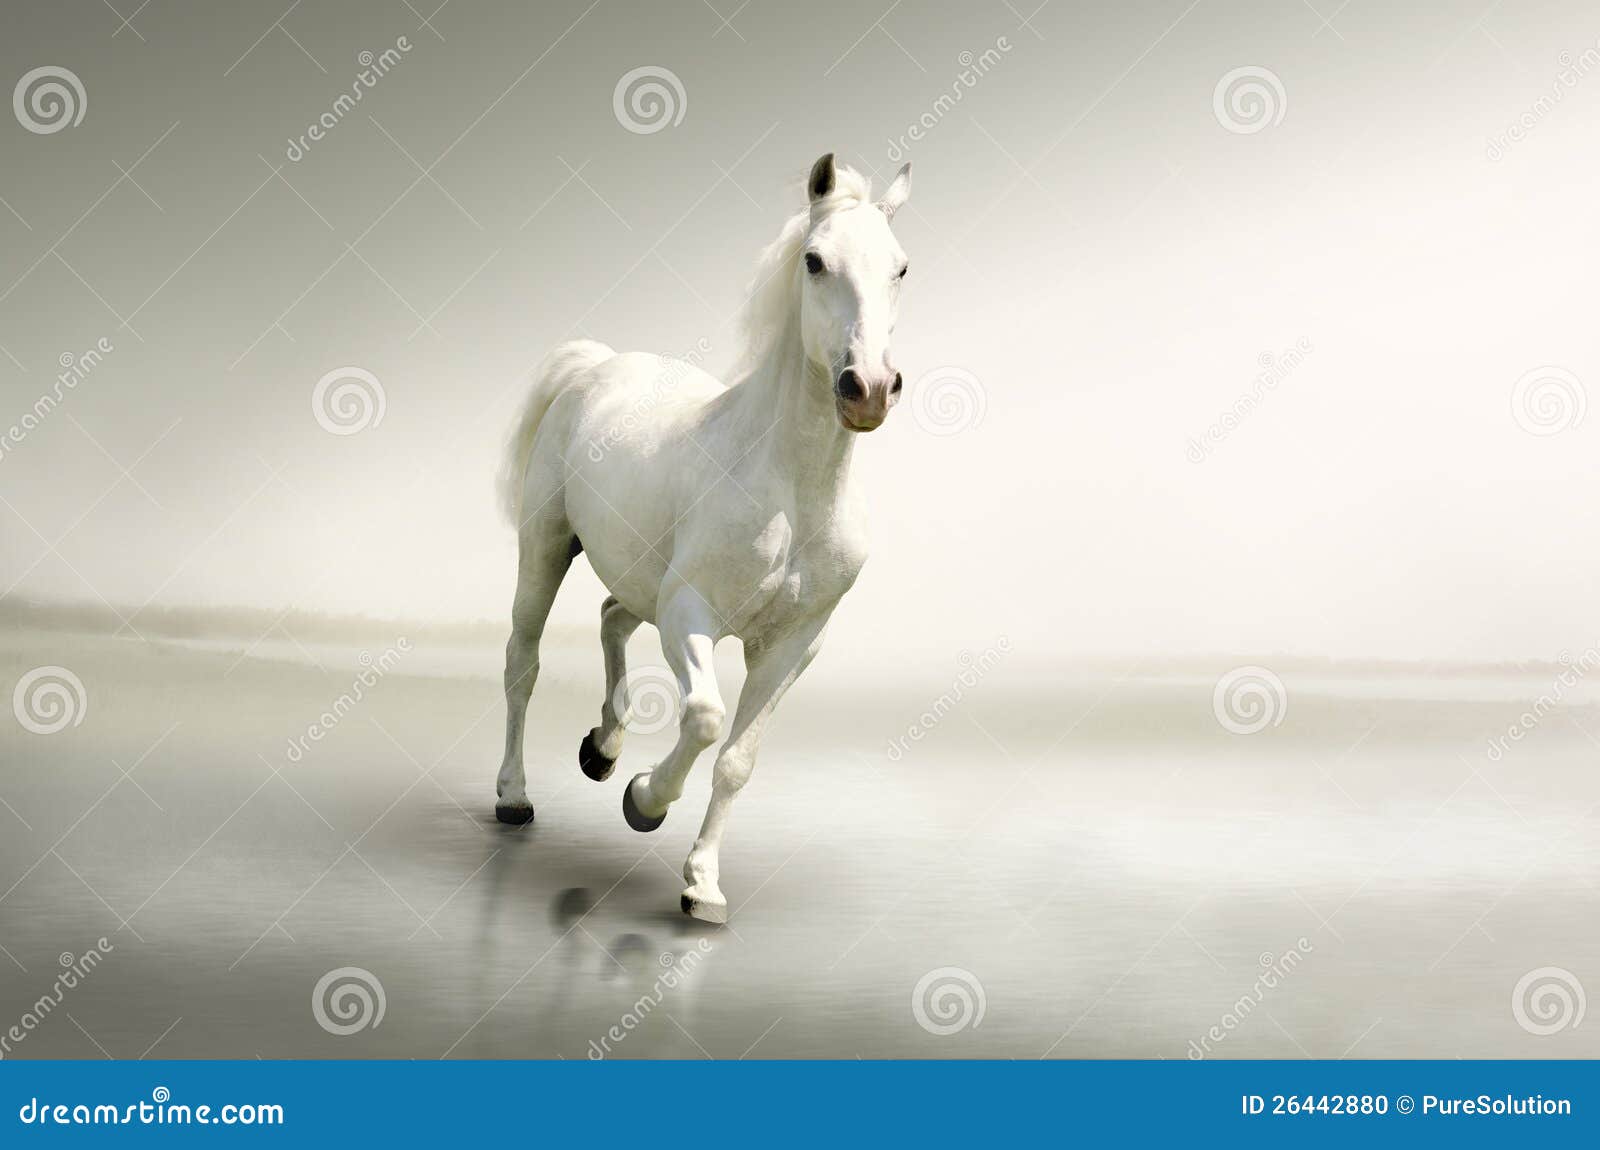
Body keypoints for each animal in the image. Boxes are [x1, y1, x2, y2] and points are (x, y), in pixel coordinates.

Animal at [493, 153, 913, 923]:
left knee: (611, 616)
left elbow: (738, 760)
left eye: (900, 266)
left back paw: (603, 747)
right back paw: (514, 796)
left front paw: (703, 887)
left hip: (640, 579)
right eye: (814, 260)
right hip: (544, 549)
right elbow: (707, 717)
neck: (792, 491)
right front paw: (644, 802)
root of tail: (596, 364)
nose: (868, 387)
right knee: (522, 662)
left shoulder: (792, 645)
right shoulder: (691, 613)